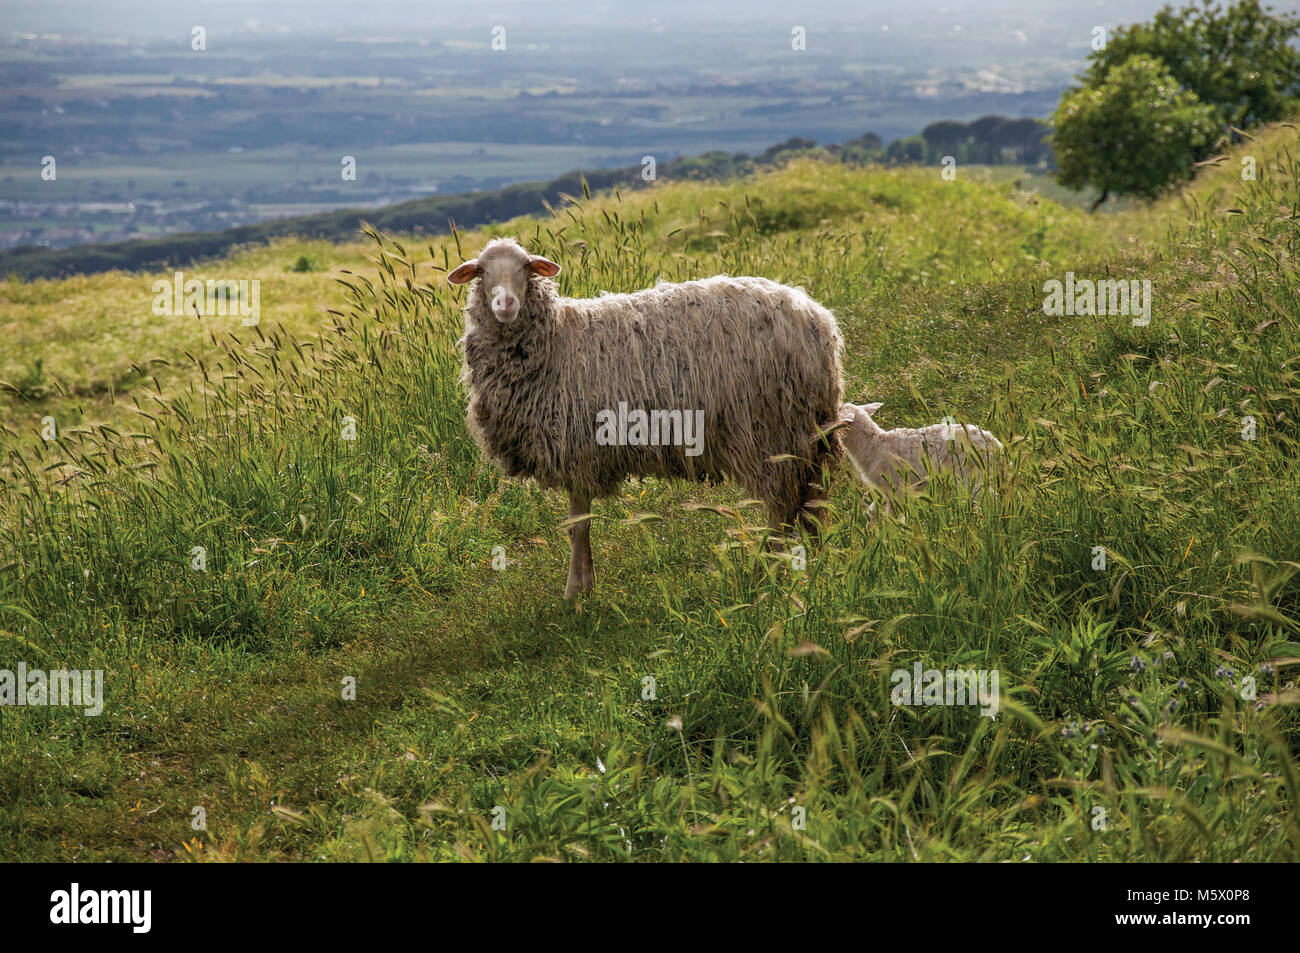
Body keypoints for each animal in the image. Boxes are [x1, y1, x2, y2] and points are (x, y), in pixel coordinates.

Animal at [449, 237, 844, 598]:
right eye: (481, 270)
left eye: (526, 267)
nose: (505, 303)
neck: (556, 340)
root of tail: (817, 320)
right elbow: (584, 526)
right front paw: (587, 586)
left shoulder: (577, 450)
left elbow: (577, 526)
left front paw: (573, 593)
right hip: (808, 434)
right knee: (811, 503)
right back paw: (811, 562)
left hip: (769, 432)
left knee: (780, 509)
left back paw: (768, 575)